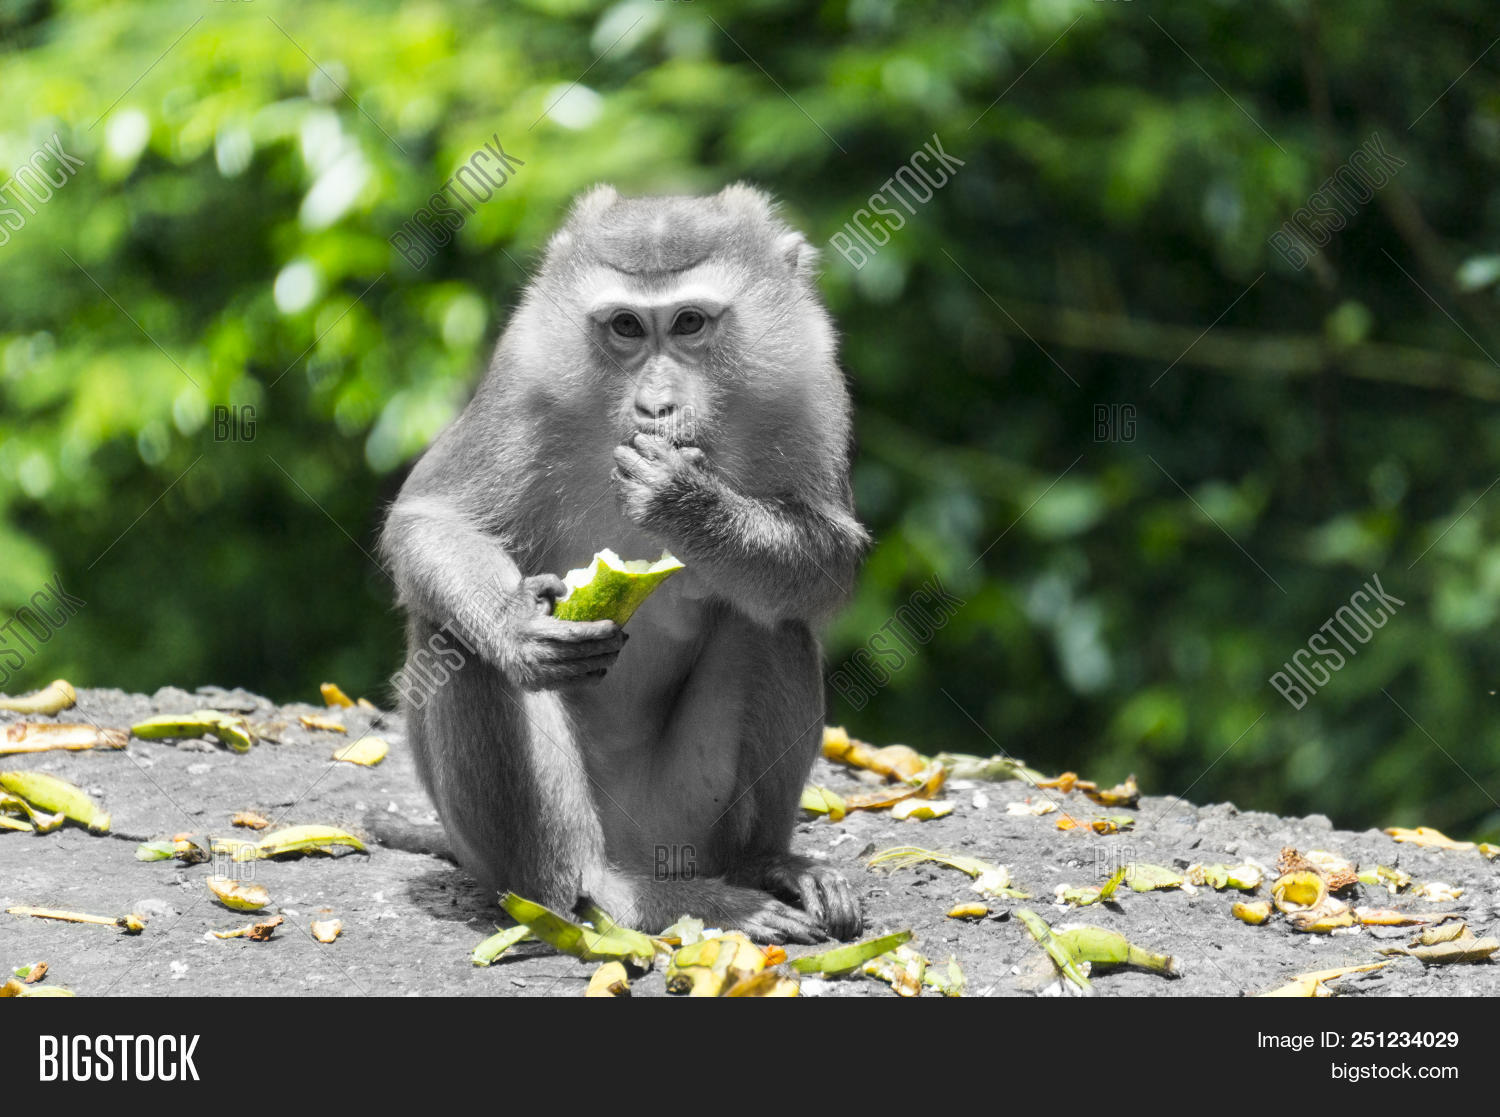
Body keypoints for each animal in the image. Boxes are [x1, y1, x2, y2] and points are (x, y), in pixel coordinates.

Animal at [378, 184, 869, 943]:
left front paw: (689, 502)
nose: (656, 405)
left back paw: (764, 866)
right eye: (627, 328)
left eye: (690, 323)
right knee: (450, 635)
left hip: (688, 821)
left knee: (773, 623)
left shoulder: (808, 387)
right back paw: (598, 893)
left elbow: (832, 561)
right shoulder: (523, 378)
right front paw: (515, 627)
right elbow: (431, 519)